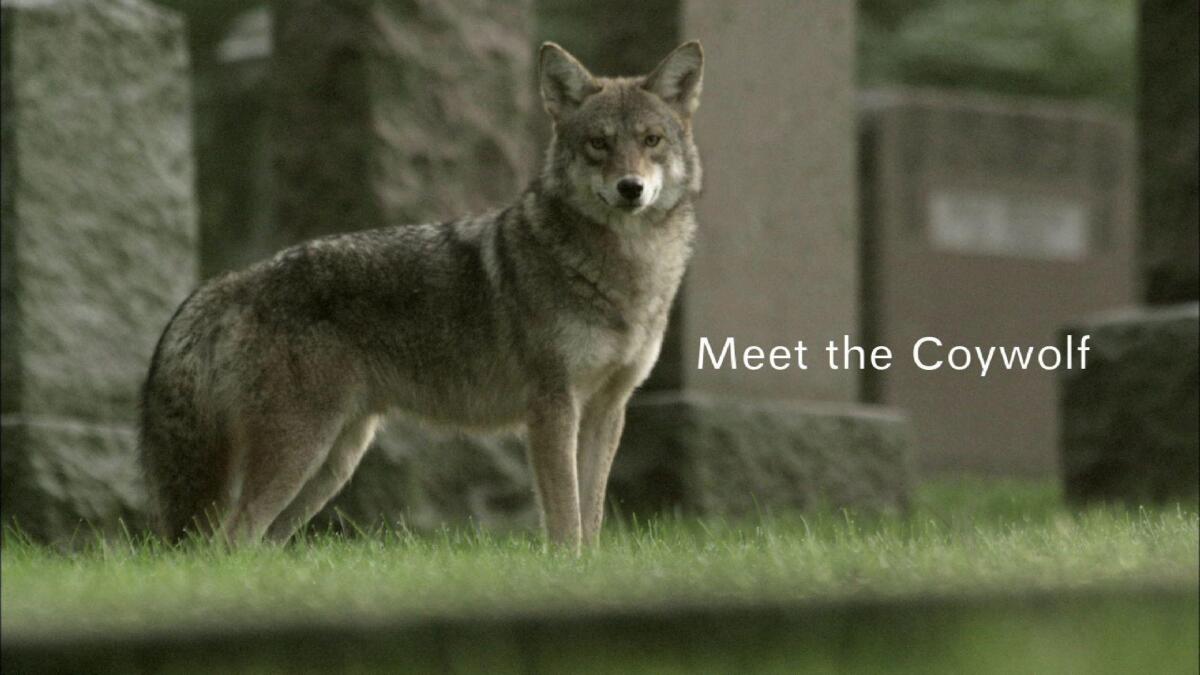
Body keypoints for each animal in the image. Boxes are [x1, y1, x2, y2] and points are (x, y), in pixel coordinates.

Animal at [140, 41, 704, 552]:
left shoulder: (607, 410)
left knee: (252, 544)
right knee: (230, 539)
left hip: (330, 465)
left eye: (651, 140)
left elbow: (591, 517)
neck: (628, 271)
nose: (630, 188)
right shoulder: (553, 409)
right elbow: (565, 518)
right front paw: (567, 571)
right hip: (301, 453)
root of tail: (240, 278)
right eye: (598, 144)